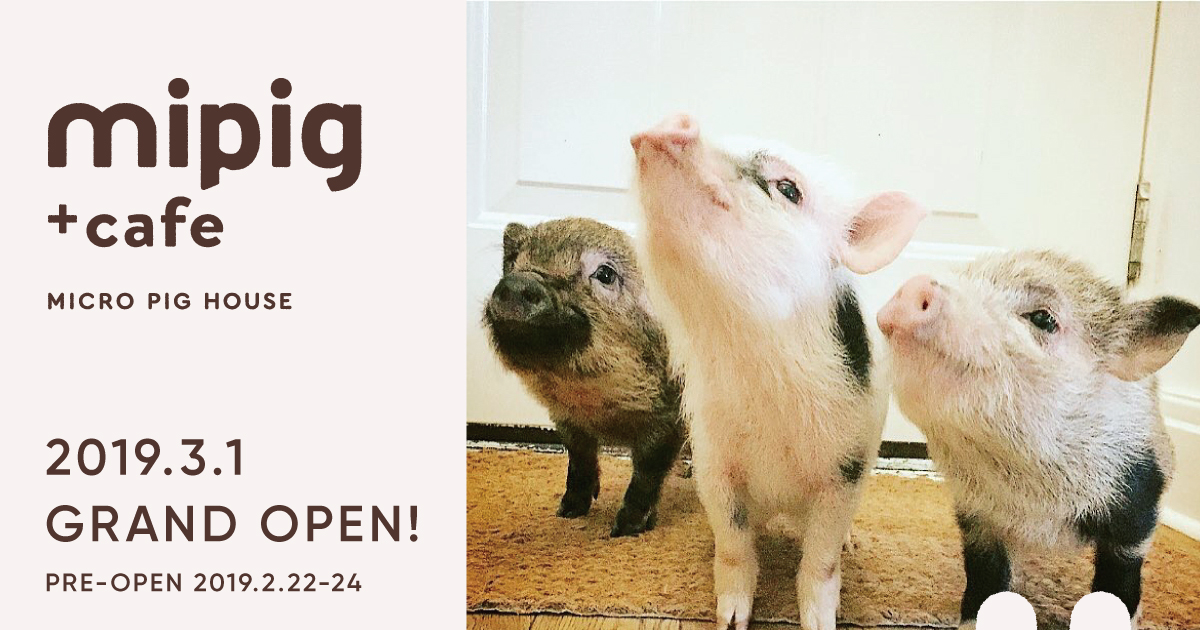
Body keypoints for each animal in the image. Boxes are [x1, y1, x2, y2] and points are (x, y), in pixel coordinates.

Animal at [482, 217, 687, 537]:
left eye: (605, 273)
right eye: (515, 261)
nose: (519, 282)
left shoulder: (670, 415)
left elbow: (647, 472)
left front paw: (624, 530)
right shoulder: (565, 418)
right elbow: (579, 460)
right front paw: (567, 512)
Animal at [631, 113, 927, 630]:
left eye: (788, 188)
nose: (674, 119)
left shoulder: (845, 469)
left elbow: (821, 561)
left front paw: (821, 621)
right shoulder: (713, 458)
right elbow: (733, 545)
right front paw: (731, 620)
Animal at [877, 250, 1200, 629]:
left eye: (1043, 318)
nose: (914, 285)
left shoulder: (1138, 507)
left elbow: (1120, 580)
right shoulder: (976, 518)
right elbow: (984, 577)